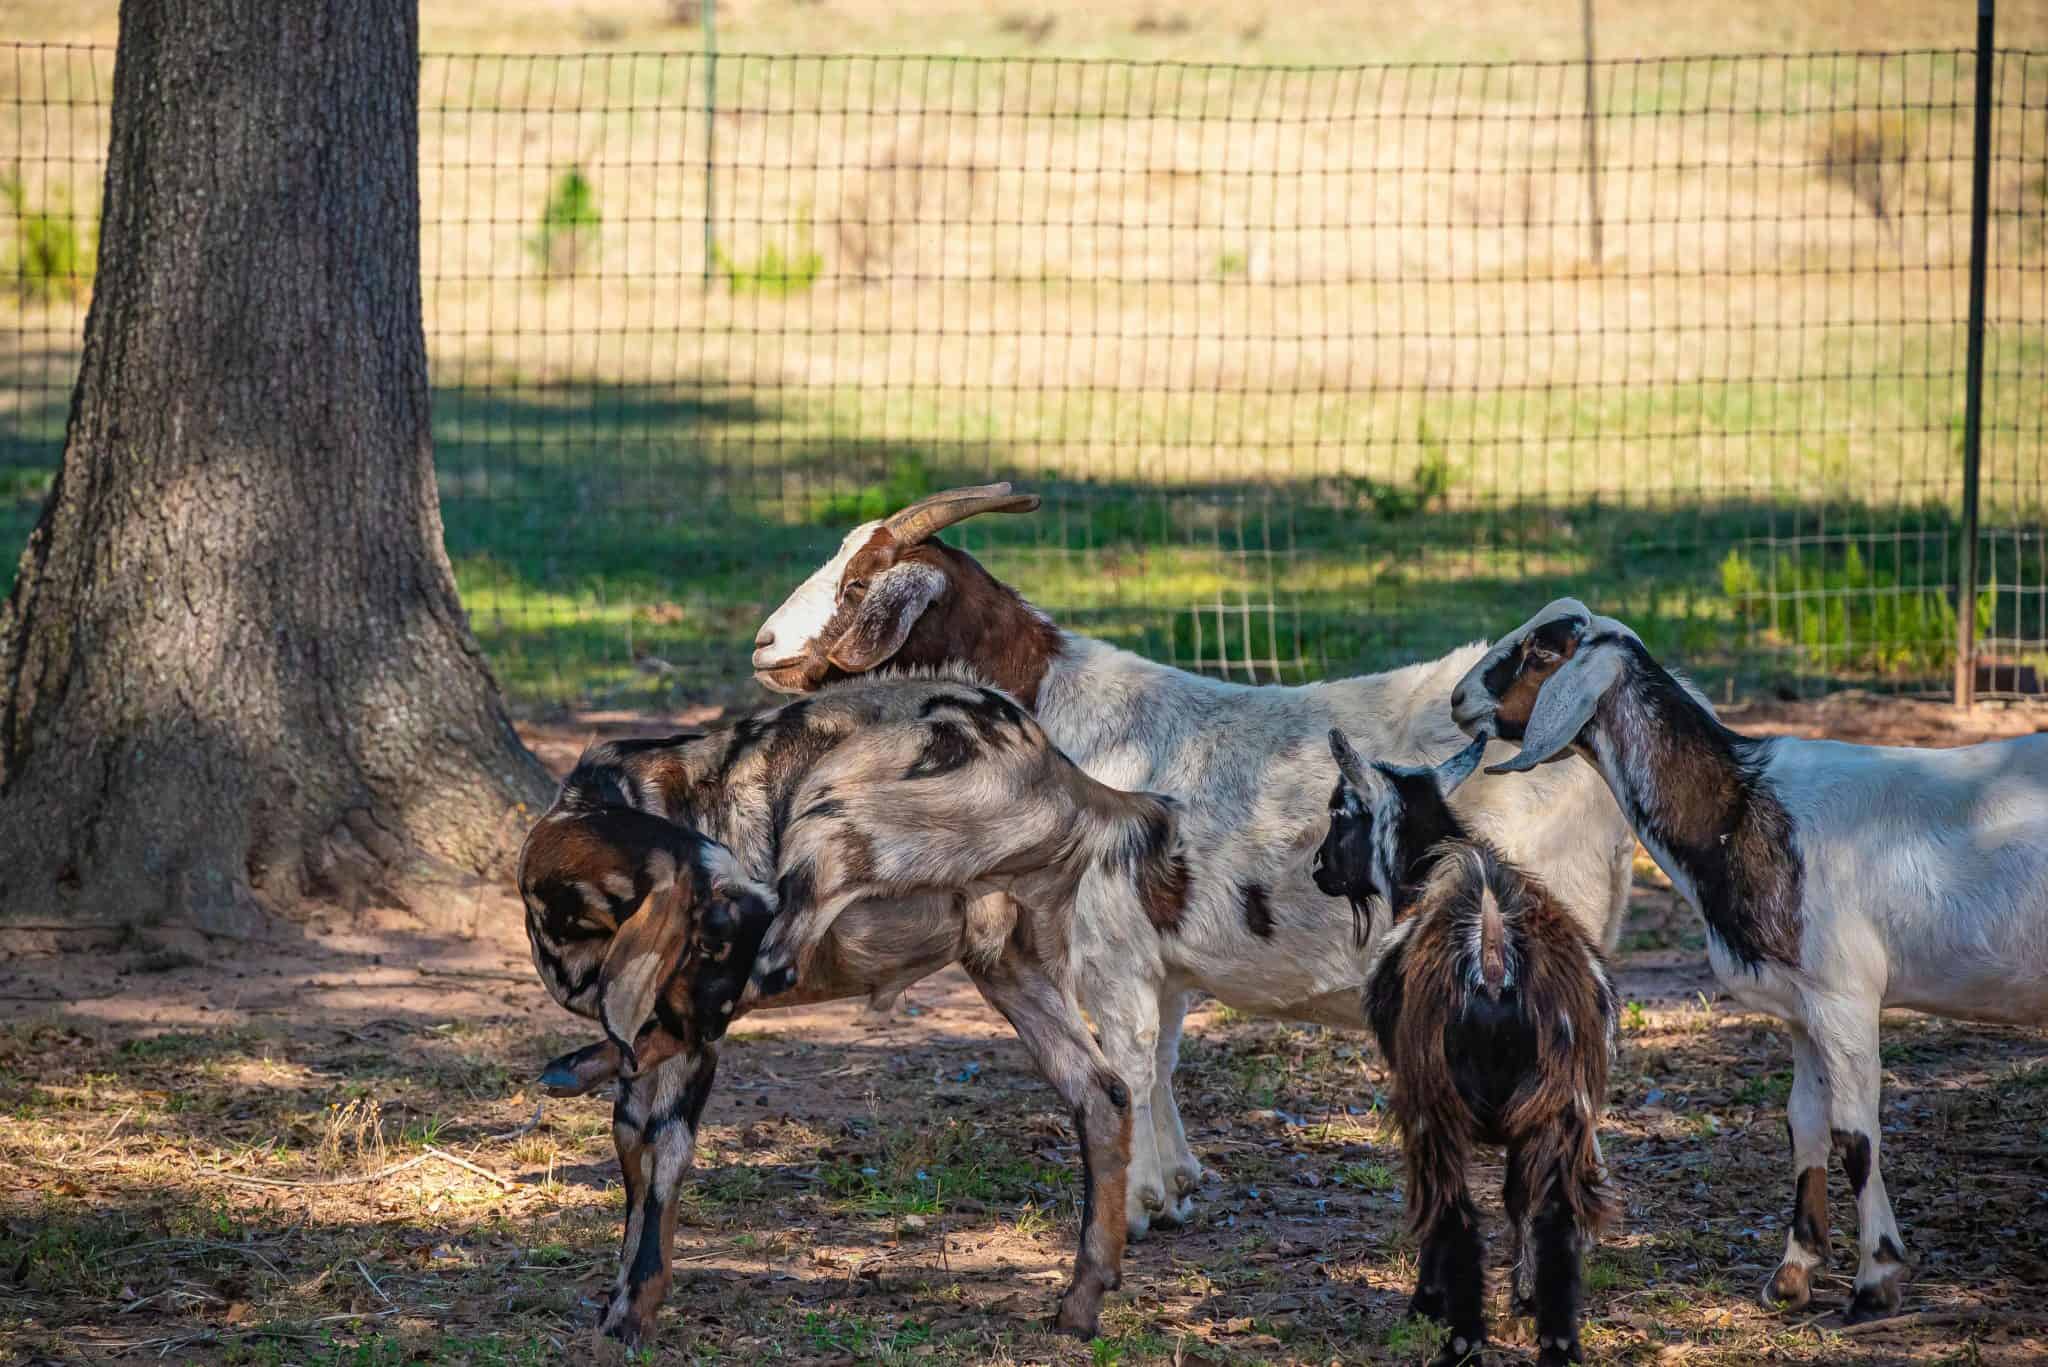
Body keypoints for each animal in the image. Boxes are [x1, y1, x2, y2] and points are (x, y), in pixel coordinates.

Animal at [518, 672, 1189, 1344]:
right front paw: (624, 1301)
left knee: (778, 965)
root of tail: (1053, 763)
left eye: (713, 934)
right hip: (1009, 969)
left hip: (829, 817)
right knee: (1102, 1094)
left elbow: (662, 1145)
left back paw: (572, 1068)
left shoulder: (688, 1021)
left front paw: (634, 1309)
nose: (753, 904)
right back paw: (1083, 1297)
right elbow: (636, 1140)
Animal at [751, 484, 1638, 1237]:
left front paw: (1134, 1202)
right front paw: (1175, 1184)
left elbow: (1127, 1061)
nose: (762, 644)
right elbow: (1163, 1057)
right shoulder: (1160, 955)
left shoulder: (1108, 943)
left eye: (858, 584)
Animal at [1314, 728, 1616, 1366]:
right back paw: (1557, 1342)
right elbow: (1518, 1199)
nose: (1318, 868)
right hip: (1561, 1102)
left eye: (1340, 812)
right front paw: (1523, 1298)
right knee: (1554, 1215)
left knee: (1455, 1214)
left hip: (1436, 1101)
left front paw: (1425, 1302)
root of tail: (1494, 952)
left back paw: (1463, 1338)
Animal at [1451, 598, 2048, 1322]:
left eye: (1542, 651)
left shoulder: (1844, 996)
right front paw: (1792, 1274)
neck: (1740, 808)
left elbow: (1855, 1134)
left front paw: (1875, 1278)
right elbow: (1805, 1124)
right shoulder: (1802, 1008)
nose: (1458, 699)